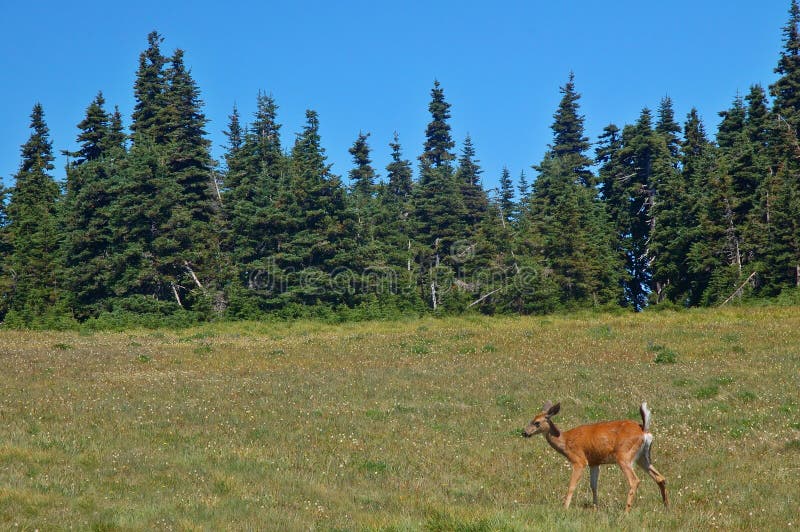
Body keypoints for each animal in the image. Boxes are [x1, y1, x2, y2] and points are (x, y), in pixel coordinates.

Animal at [522, 401, 668, 512]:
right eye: (531, 419)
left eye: (537, 422)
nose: (524, 433)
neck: (565, 440)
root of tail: (644, 430)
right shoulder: (594, 462)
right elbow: (593, 485)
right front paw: (595, 507)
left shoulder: (579, 460)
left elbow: (572, 485)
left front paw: (565, 508)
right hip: (643, 457)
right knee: (660, 478)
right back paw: (667, 507)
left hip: (624, 456)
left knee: (634, 480)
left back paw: (626, 512)